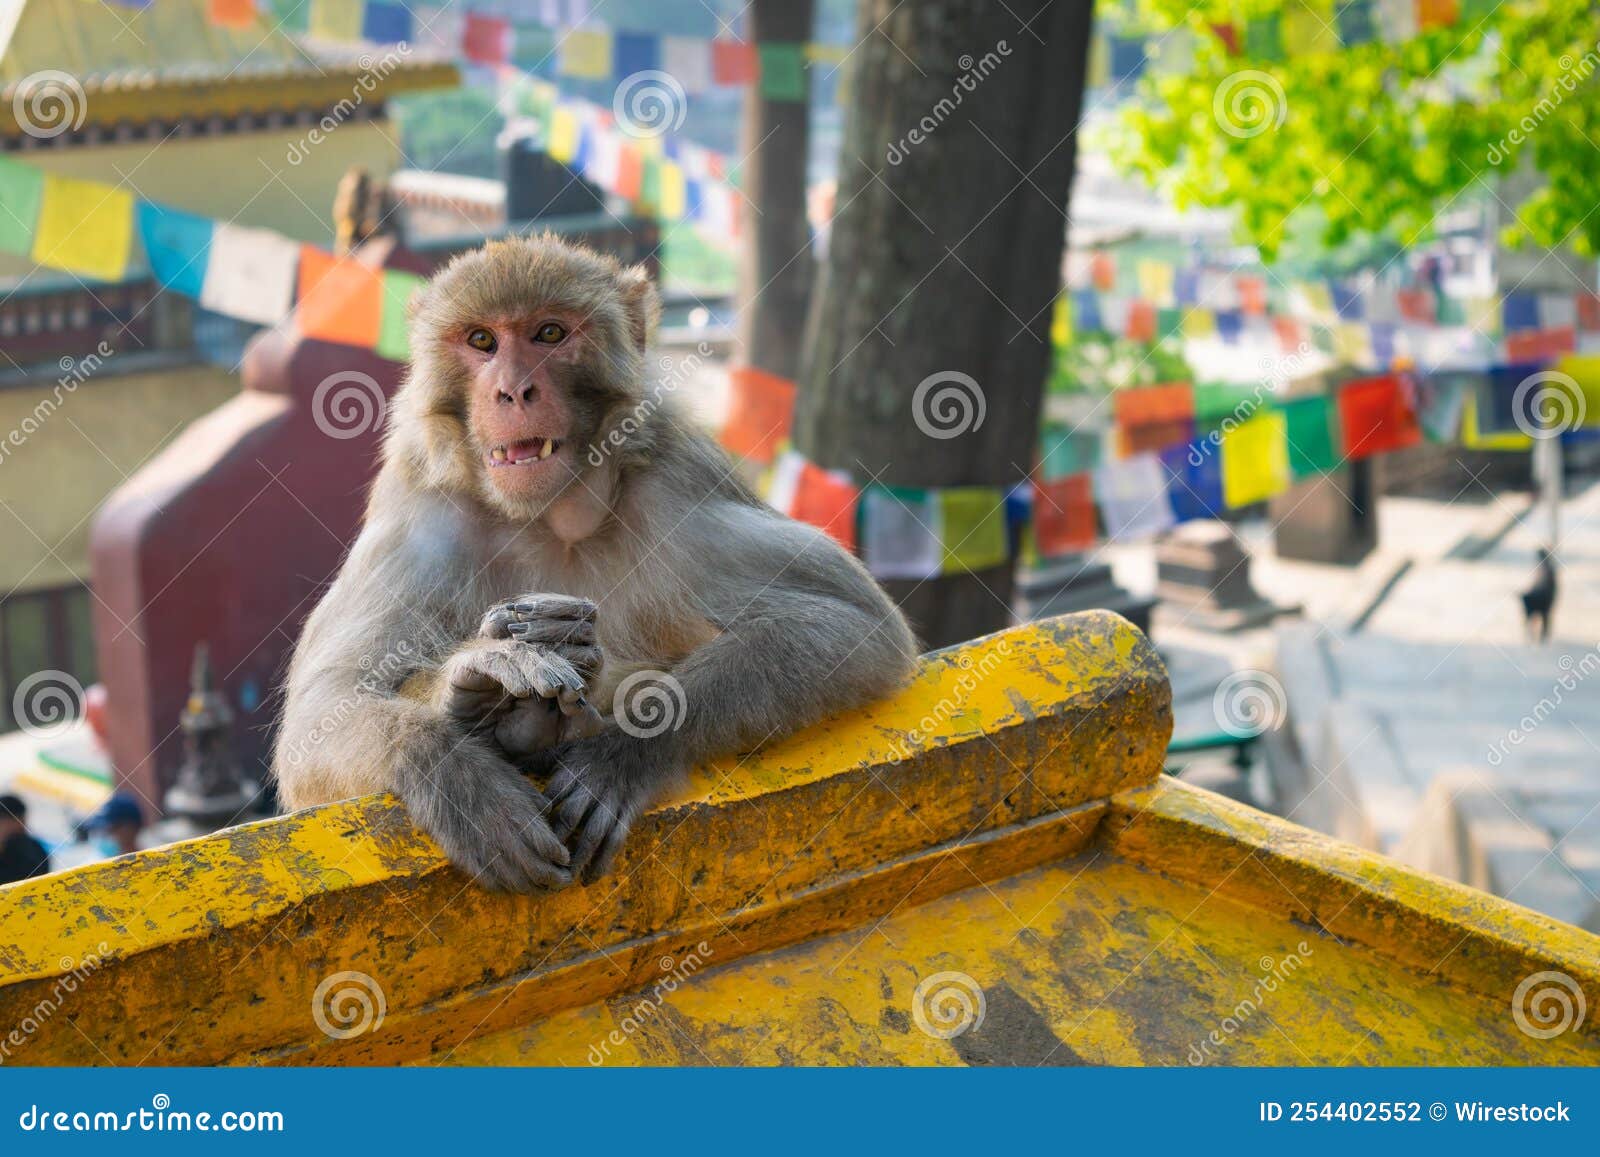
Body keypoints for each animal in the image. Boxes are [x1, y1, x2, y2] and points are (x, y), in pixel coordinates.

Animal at [271, 235, 919, 892]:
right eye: (482, 341)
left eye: (549, 333)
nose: (512, 390)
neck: (552, 518)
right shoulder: (421, 519)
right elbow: (322, 711)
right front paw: (459, 774)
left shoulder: (679, 490)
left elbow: (853, 622)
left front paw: (624, 752)